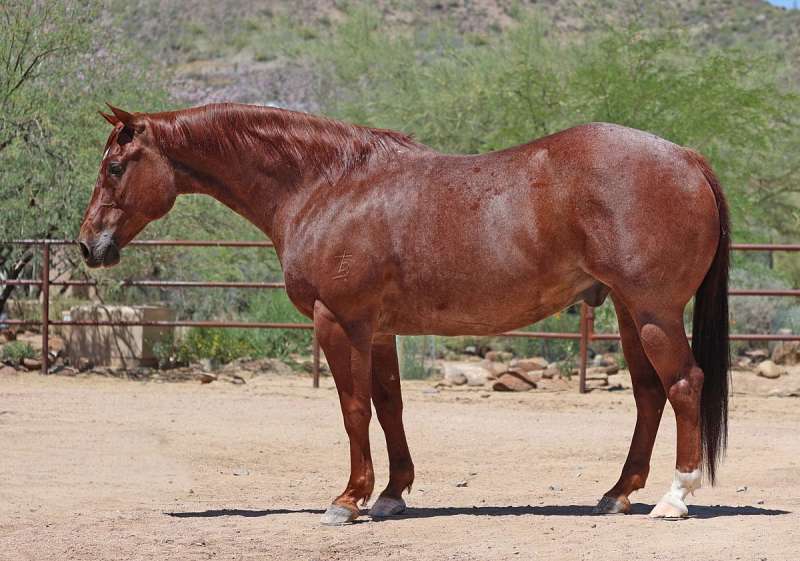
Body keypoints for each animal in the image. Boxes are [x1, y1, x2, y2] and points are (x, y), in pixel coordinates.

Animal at [78, 102, 729, 524]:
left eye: (114, 168)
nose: (89, 246)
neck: (327, 186)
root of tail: (687, 157)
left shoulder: (338, 321)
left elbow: (352, 409)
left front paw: (347, 500)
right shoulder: (379, 330)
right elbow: (390, 407)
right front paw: (392, 494)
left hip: (653, 310)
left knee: (683, 384)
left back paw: (674, 499)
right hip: (627, 311)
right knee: (649, 394)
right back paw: (617, 494)